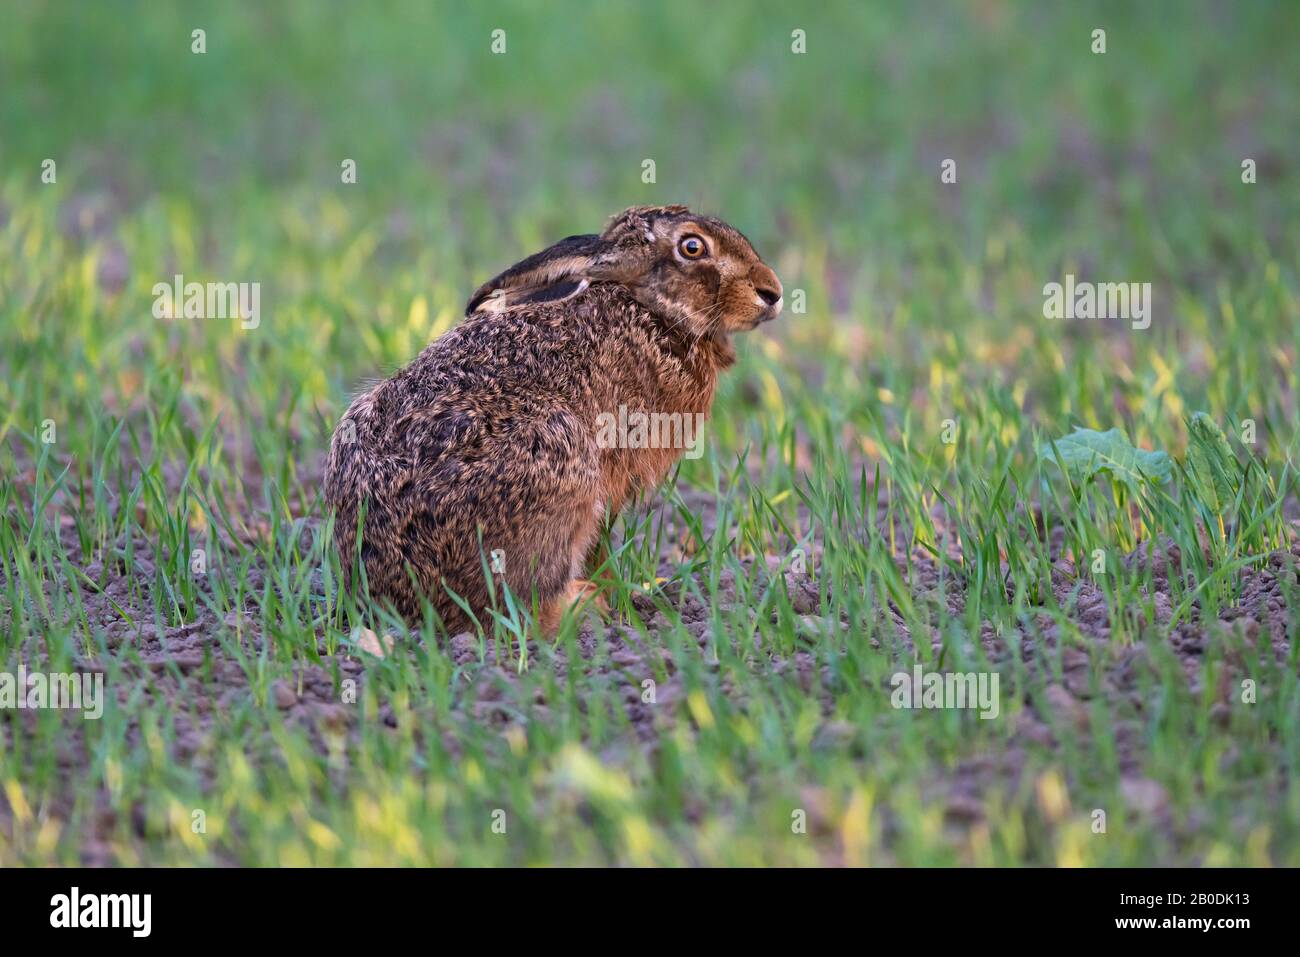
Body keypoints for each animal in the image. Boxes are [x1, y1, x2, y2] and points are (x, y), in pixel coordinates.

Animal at [325, 204, 782, 635]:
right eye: (692, 247)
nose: (773, 292)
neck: (651, 311)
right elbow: (600, 544)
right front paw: (620, 598)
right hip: (561, 464)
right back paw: (585, 608)